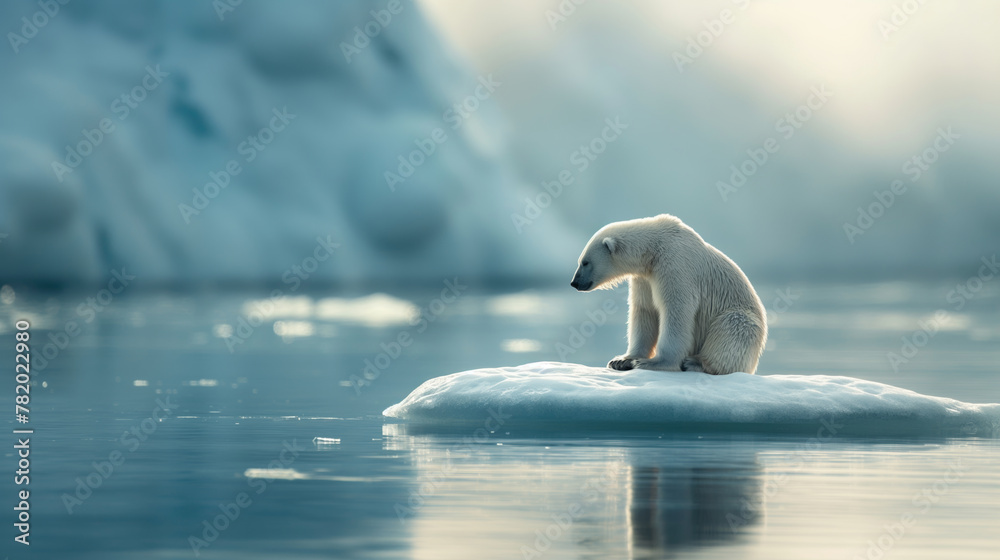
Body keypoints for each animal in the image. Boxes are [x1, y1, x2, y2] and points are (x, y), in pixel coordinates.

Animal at [570, 214, 767, 375]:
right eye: (580, 261)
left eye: (585, 262)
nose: (574, 282)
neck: (654, 248)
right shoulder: (645, 277)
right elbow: (644, 311)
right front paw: (621, 360)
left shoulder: (675, 265)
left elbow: (675, 310)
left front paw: (651, 363)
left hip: (740, 318)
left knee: (733, 326)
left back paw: (696, 362)